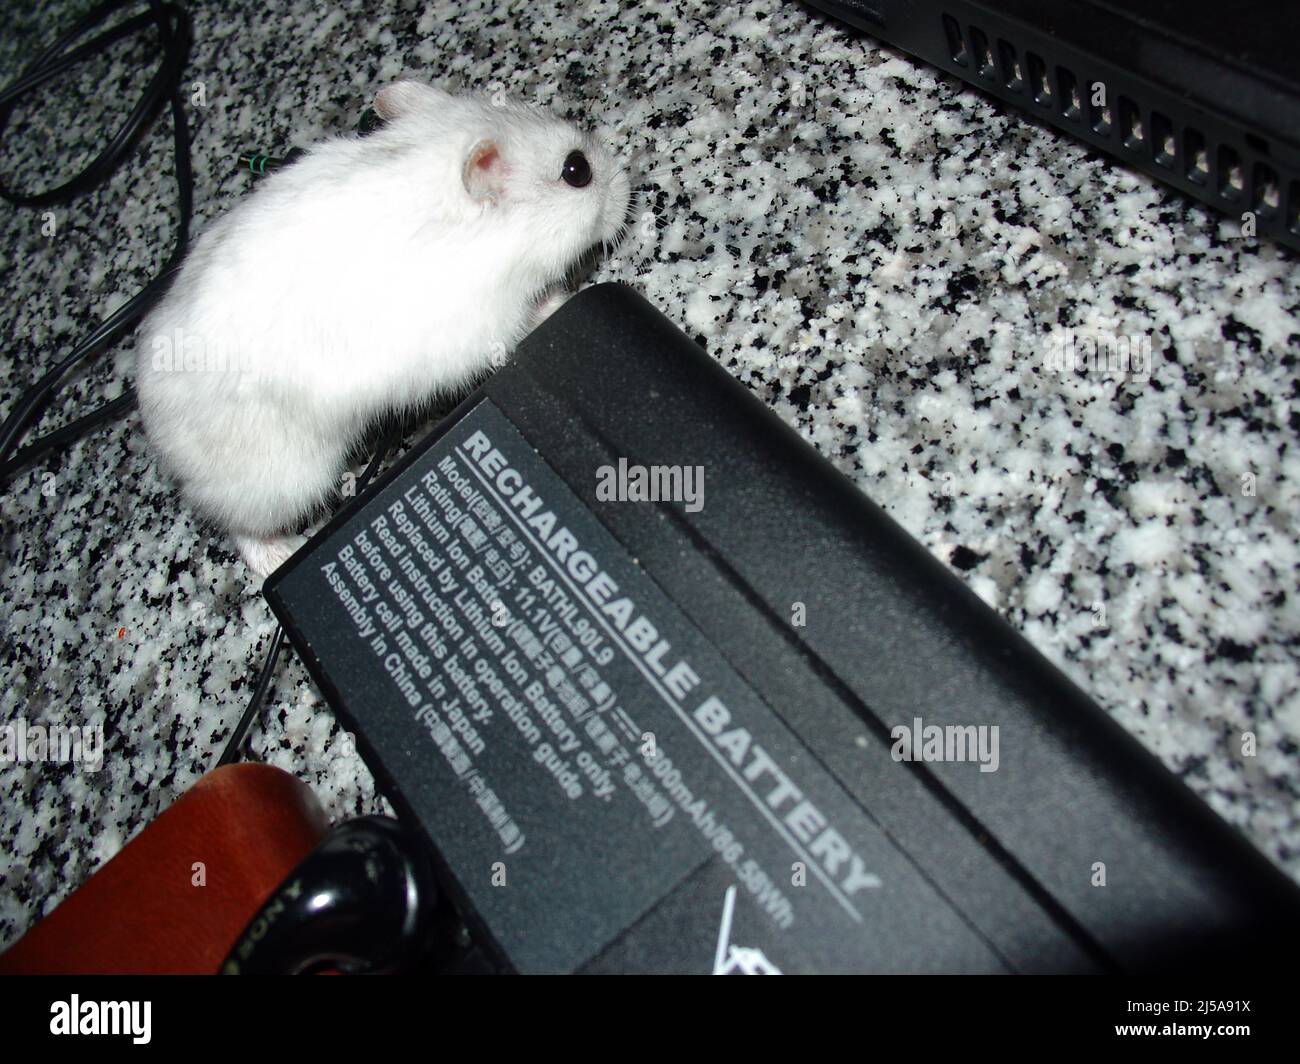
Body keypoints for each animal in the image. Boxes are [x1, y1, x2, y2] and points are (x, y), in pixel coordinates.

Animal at [135, 81, 631, 576]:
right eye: (576, 170)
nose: (627, 183)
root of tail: (155, 431)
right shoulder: (485, 327)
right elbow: (530, 316)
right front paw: (567, 299)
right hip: (280, 478)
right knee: (239, 527)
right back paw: (283, 551)